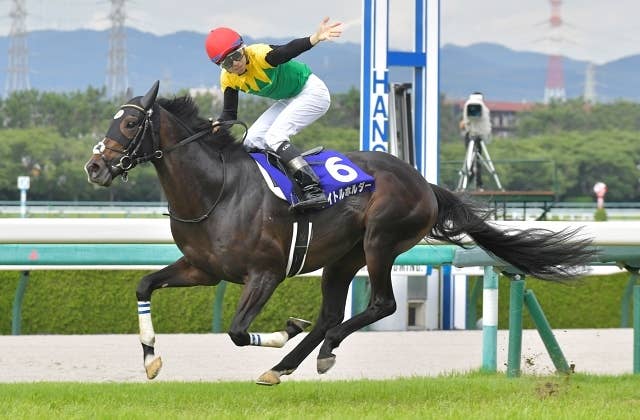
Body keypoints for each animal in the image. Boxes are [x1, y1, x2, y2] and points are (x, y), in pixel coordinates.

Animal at [84, 81, 595, 385]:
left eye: (131, 122)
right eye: (112, 119)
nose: (95, 167)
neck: (217, 190)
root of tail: (423, 182)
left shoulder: (265, 274)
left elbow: (237, 331)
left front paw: (284, 329)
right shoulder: (203, 269)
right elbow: (143, 285)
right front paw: (150, 359)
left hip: (380, 241)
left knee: (381, 304)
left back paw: (318, 351)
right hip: (341, 257)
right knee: (331, 313)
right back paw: (285, 366)